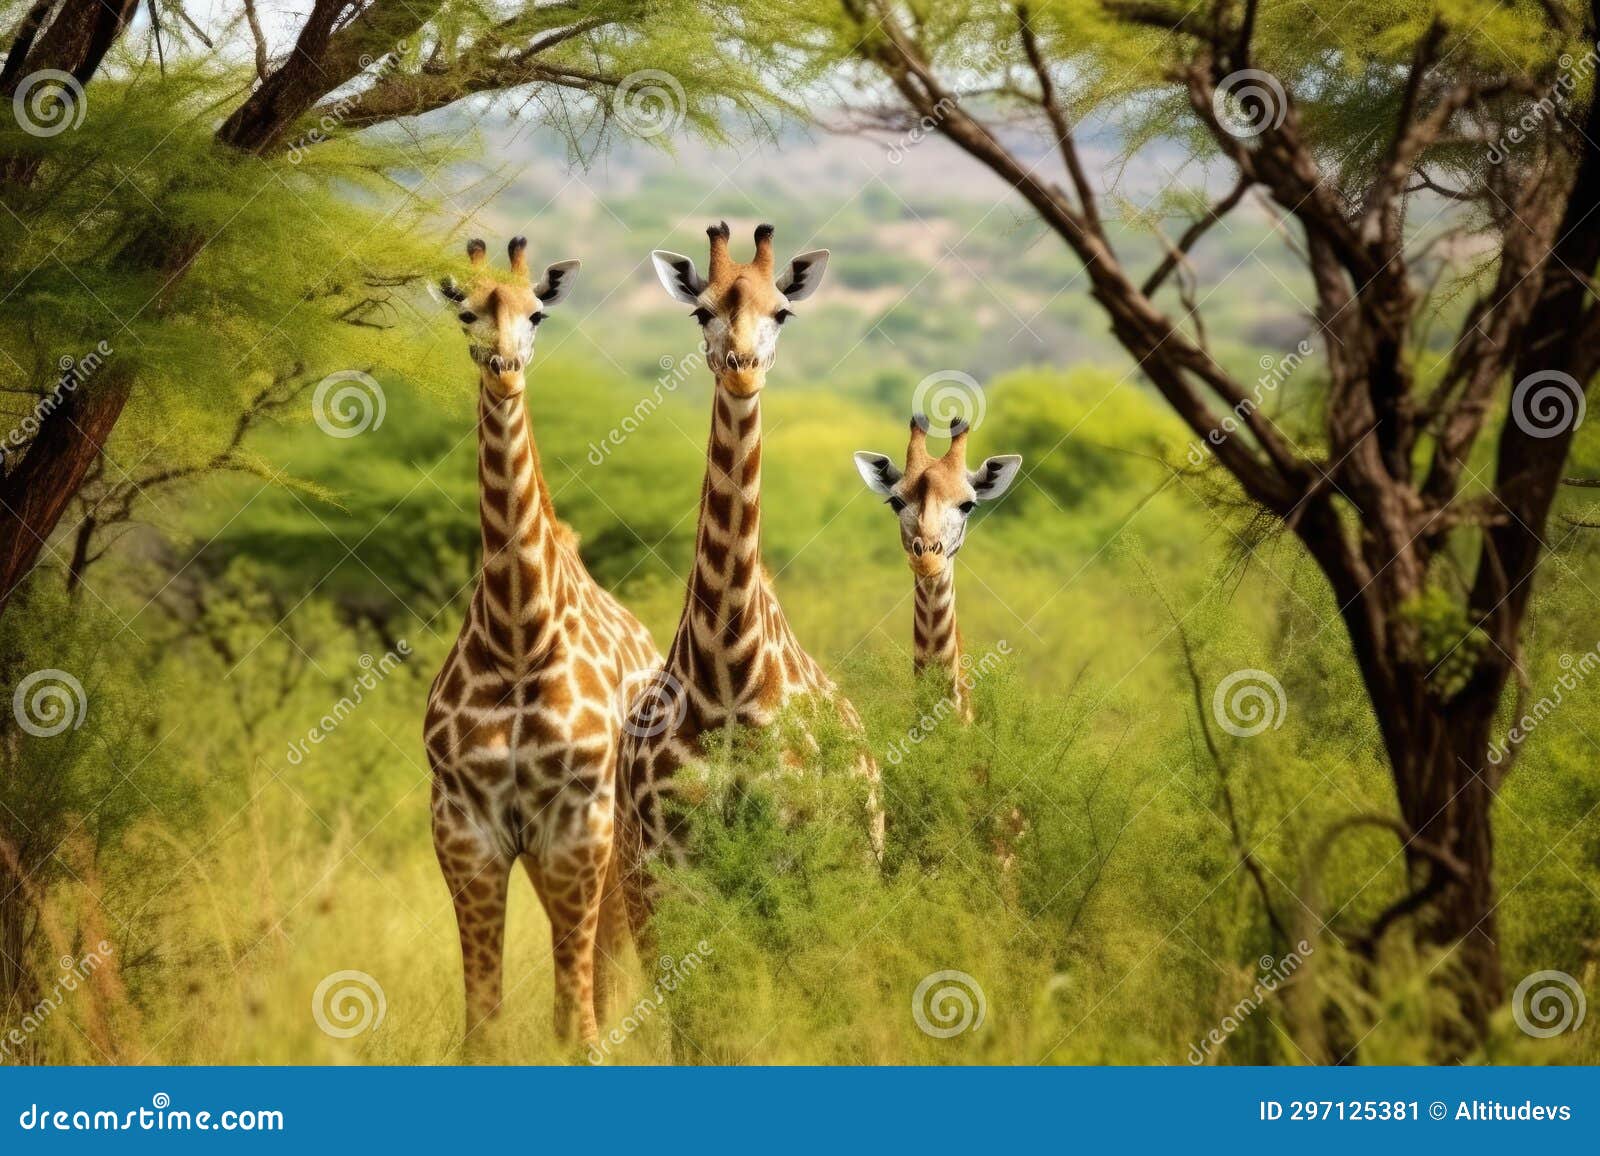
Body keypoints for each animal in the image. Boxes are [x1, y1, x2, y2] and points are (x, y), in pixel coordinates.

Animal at [424, 237, 662, 1046]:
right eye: (466, 311)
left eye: (537, 314)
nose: (502, 367)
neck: (519, 634)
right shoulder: (464, 823)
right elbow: (482, 1028)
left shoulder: (578, 820)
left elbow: (576, 1027)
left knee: (616, 955)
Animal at [615, 222, 882, 926]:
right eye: (701, 311)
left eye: (782, 311)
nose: (742, 371)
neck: (730, 682)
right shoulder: (669, 875)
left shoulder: (789, 862)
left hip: (857, 871)